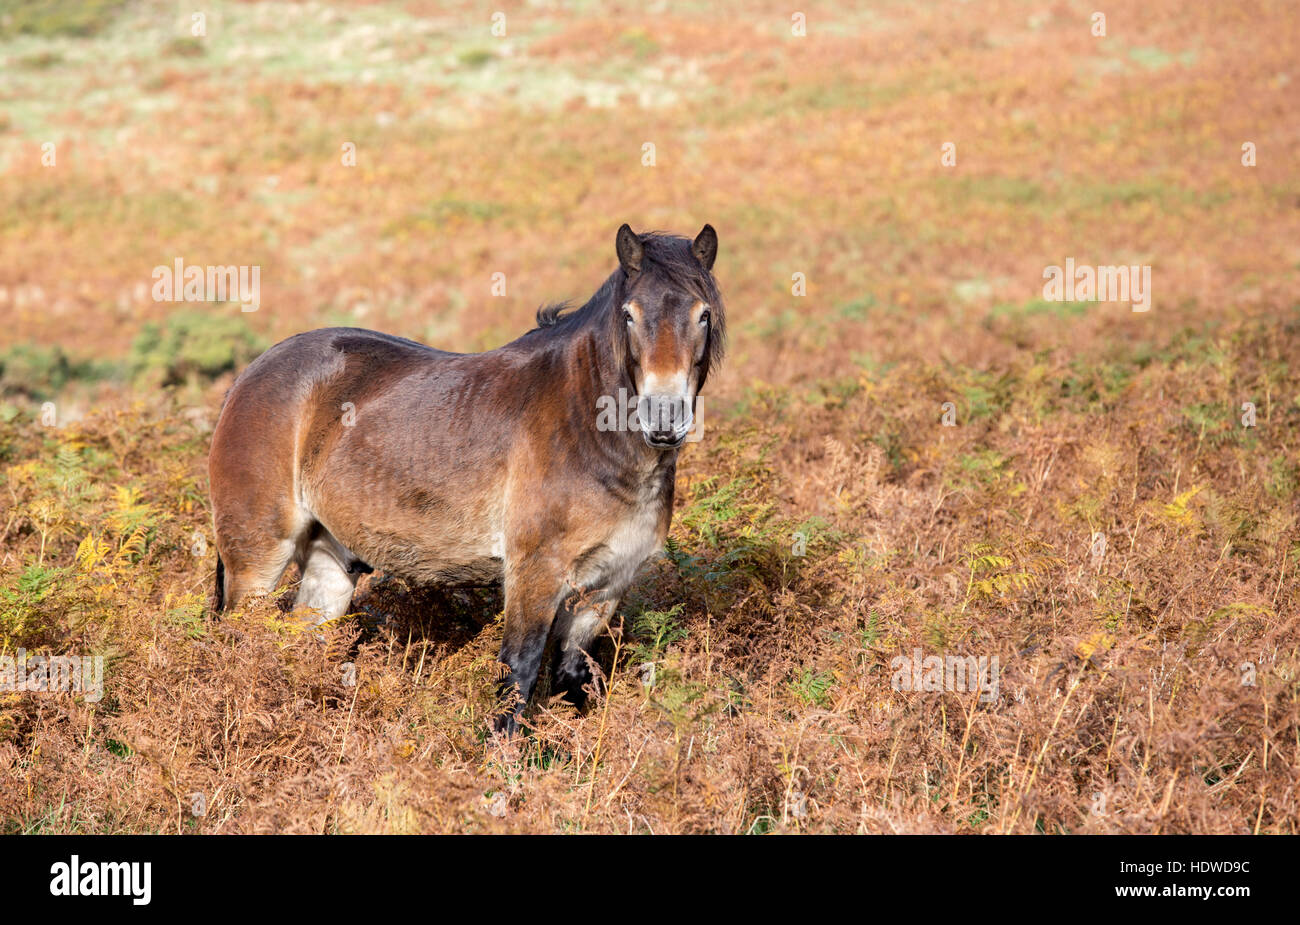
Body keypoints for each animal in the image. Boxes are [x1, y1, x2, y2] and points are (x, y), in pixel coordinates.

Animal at [208, 224, 725, 734]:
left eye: (702, 315)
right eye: (630, 315)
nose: (664, 419)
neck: (586, 429)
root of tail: (248, 375)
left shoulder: (604, 590)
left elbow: (572, 685)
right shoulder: (535, 575)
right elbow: (517, 676)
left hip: (329, 564)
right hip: (257, 559)